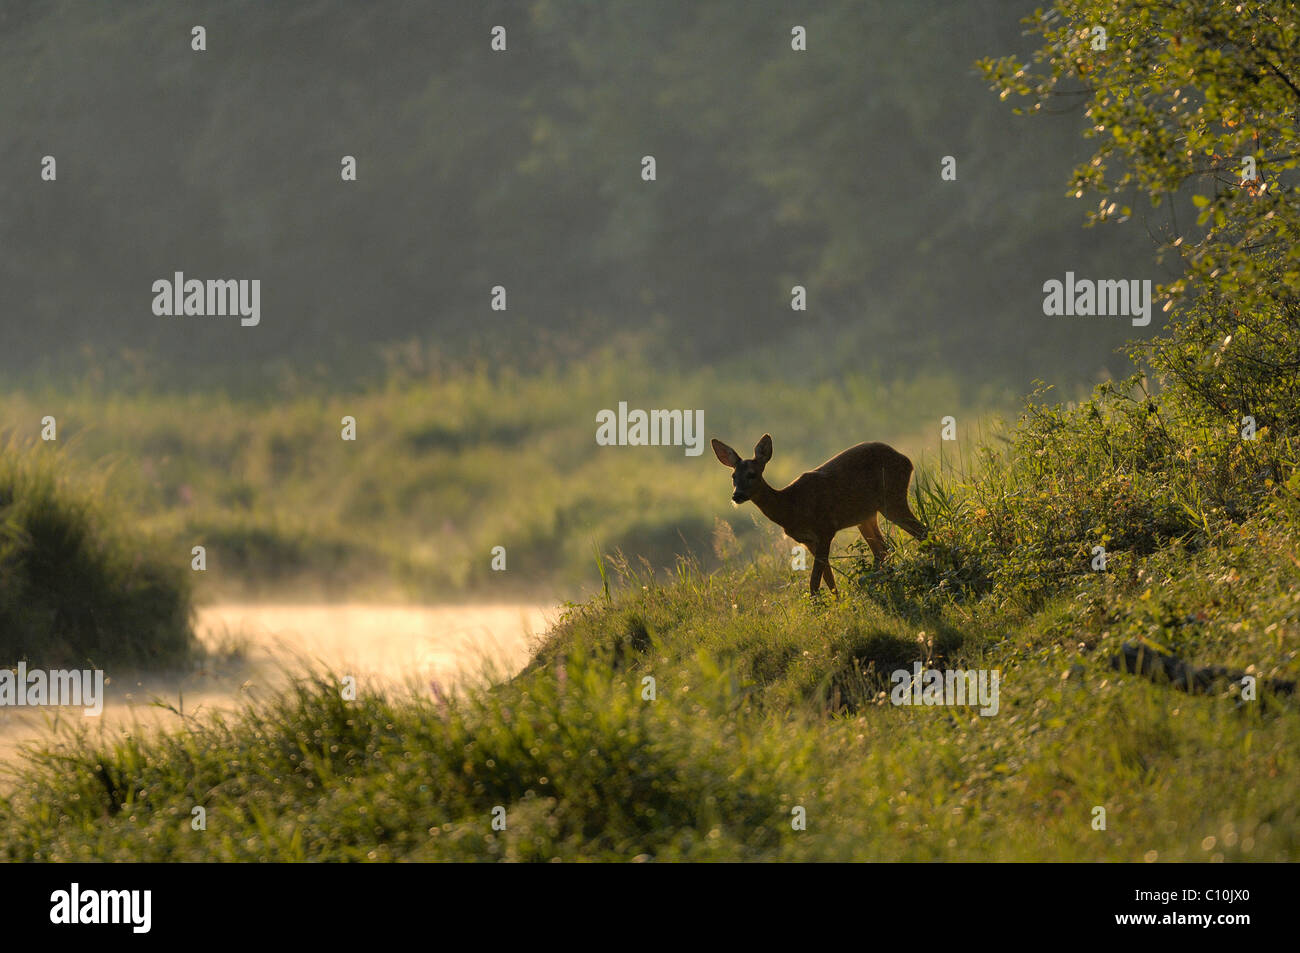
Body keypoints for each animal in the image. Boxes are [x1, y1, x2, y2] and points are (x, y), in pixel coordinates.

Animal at [711, 433, 927, 595]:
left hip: (892, 499)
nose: (737, 495)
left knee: (921, 532)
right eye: (733, 476)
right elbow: (828, 579)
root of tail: (907, 460)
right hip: (866, 516)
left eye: (752, 474)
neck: (791, 507)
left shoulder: (825, 529)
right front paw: (835, 603)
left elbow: (815, 581)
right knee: (883, 550)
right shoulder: (807, 540)